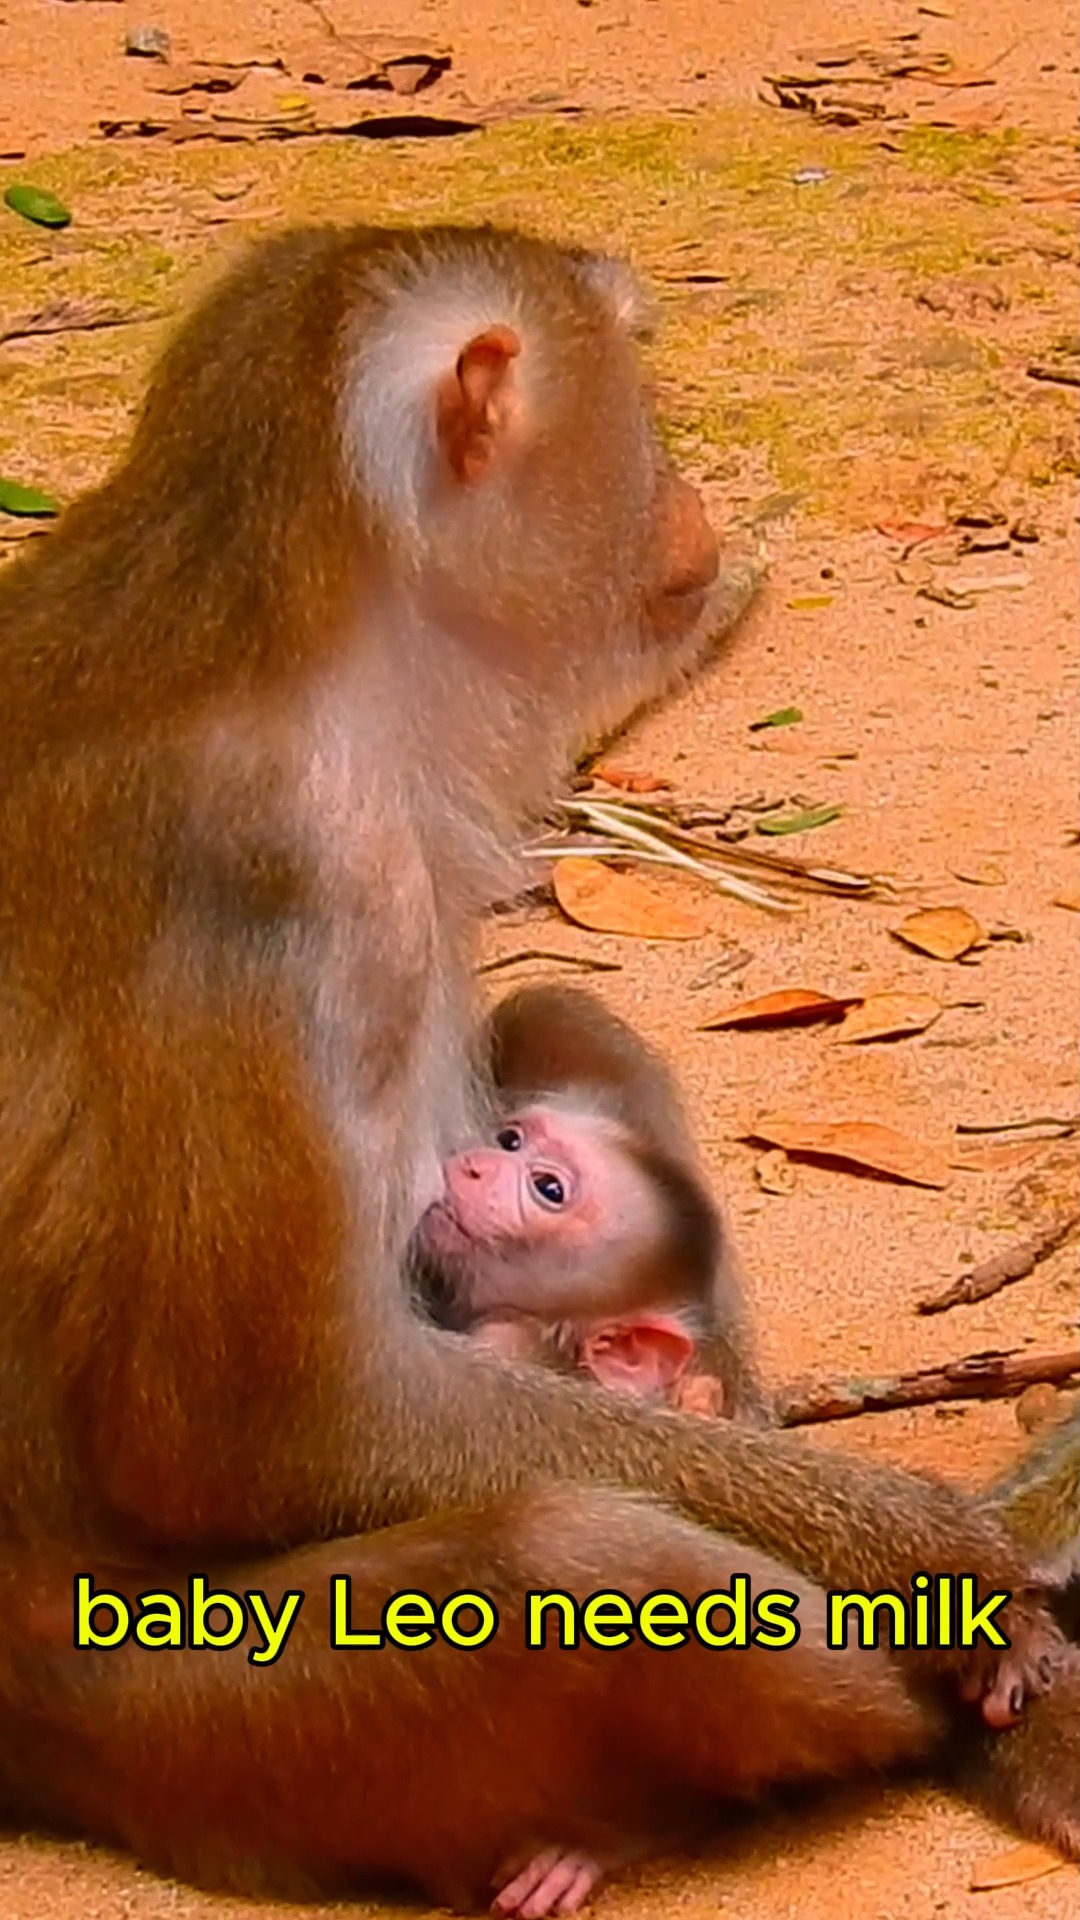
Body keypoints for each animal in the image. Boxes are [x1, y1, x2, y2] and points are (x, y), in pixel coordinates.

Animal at [0, 221, 1071, 1914]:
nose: (689, 481)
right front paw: (924, 1559)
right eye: (635, 386)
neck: (306, 639)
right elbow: (250, 1432)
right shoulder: (246, 869)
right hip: (206, 1737)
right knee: (576, 1556)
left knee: (564, 1017)